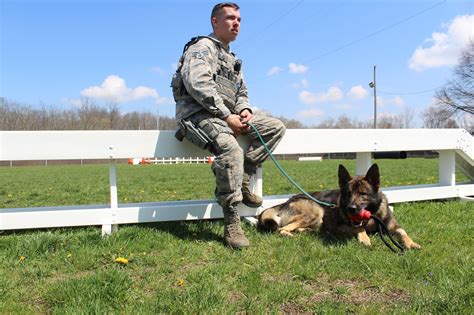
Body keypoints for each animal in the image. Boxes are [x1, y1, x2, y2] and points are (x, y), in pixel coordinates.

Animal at [258, 164, 420, 251]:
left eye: (363, 194)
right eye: (348, 193)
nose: (351, 208)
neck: (372, 216)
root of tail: (285, 202)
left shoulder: (393, 226)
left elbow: (403, 233)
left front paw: (411, 243)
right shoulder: (339, 226)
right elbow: (358, 228)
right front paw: (365, 239)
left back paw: (306, 231)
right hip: (316, 212)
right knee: (281, 229)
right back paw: (291, 234)